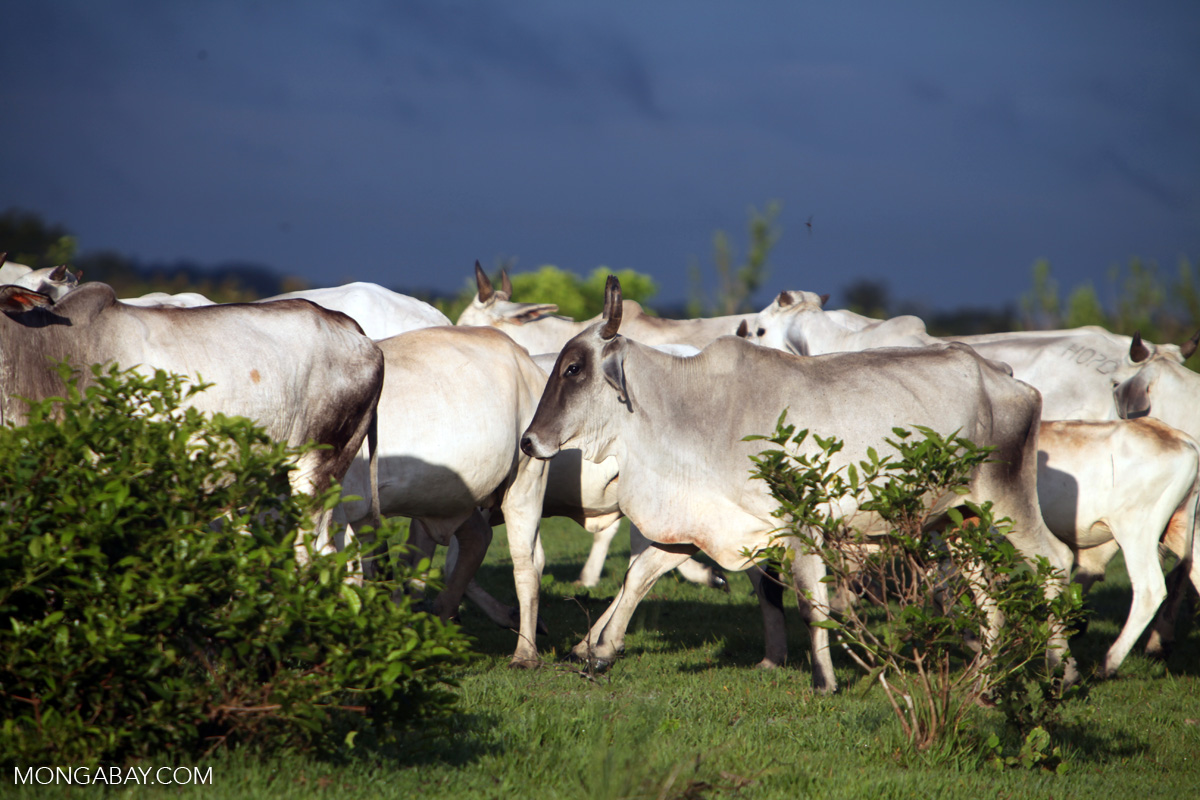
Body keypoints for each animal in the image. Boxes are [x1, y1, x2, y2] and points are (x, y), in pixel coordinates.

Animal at [519, 276, 1075, 692]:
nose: (528, 441)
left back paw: (1061, 672)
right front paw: (601, 651)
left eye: (573, 368)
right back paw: (982, 680)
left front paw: (824, 679)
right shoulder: (708, 522)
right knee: (986, 591)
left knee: (1053, 561)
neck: (695, 411)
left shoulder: (800, 522)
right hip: (956, 519)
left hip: (1007, 498)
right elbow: (639, 575)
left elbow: (812, 603)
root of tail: (1001, 373)